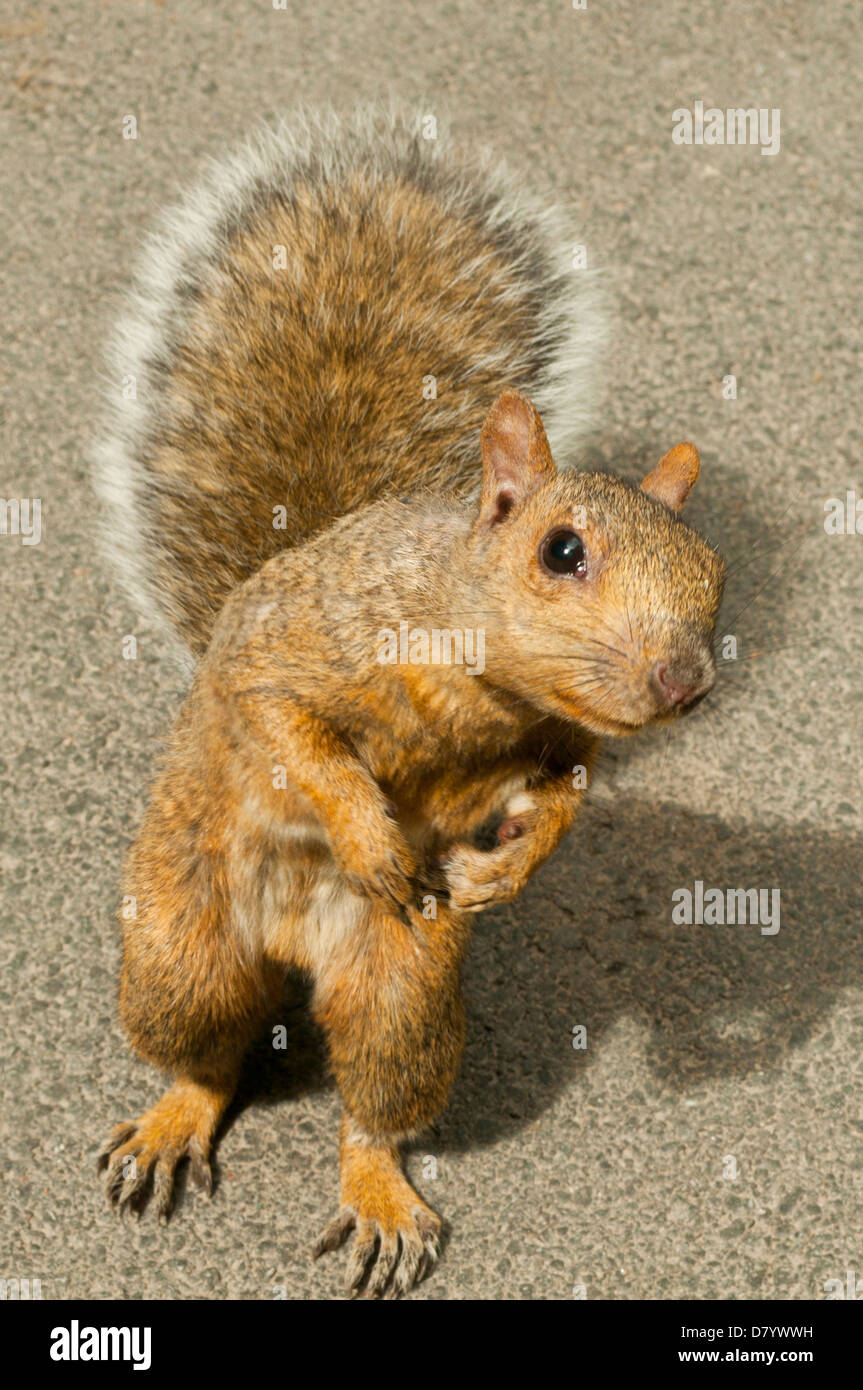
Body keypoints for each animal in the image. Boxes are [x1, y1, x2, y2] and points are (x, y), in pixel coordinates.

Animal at [94, 107, 726, 1298]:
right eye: (559, 550)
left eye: (714, 573)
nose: (683, 683)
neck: (477, 682)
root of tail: (294, 950)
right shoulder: (293, 652)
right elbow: (296, 736)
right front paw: (372, 838)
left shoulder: (558, 744)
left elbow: (561, 798)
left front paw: (498, 871)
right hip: (180, 944)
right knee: (204, 1053)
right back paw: (172, 1118)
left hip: (402, 987)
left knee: (373, 1107)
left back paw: (379, 1190)